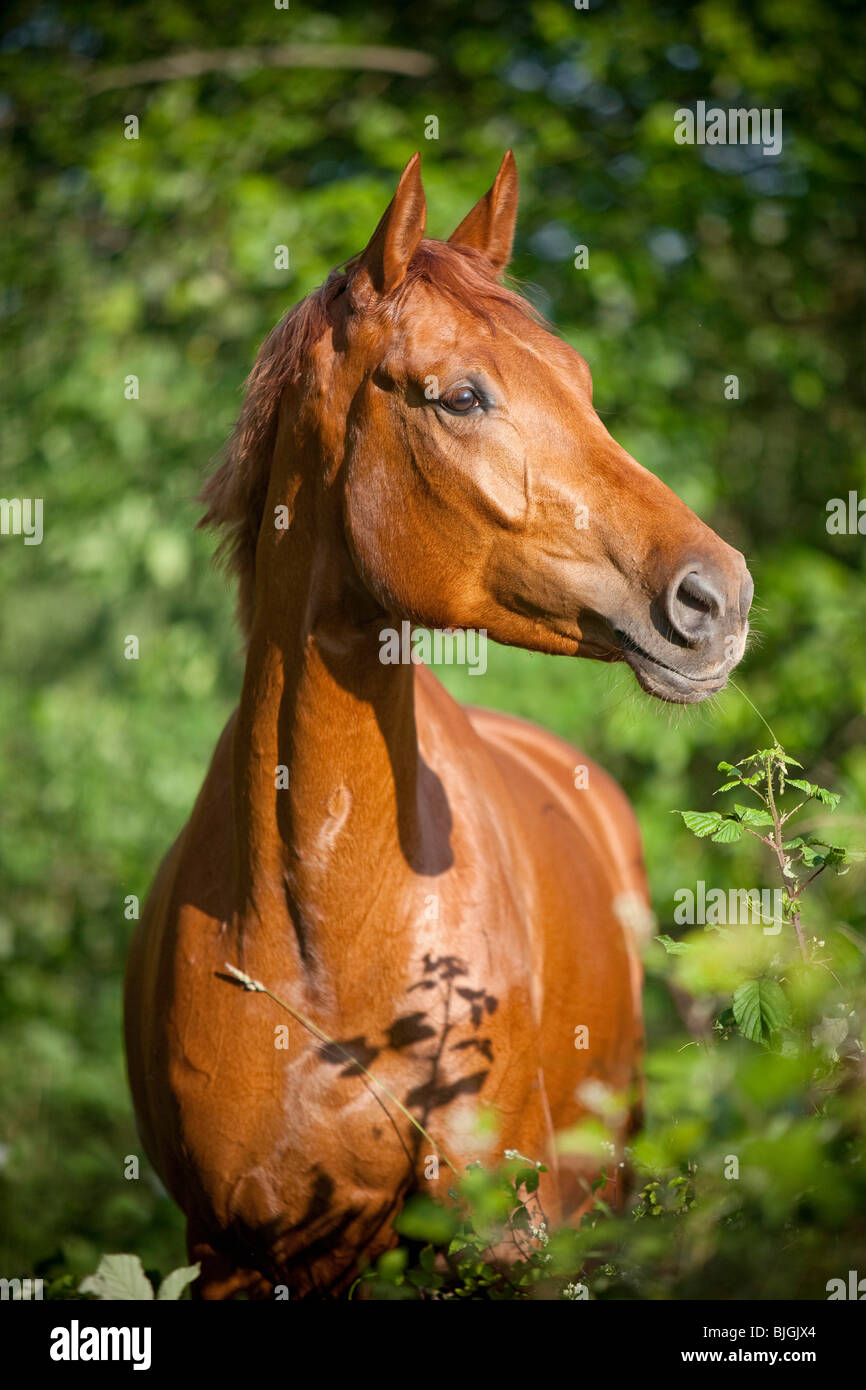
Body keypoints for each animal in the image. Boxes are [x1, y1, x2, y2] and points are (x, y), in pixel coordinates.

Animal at [124, 151, 753, 1298]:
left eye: (581, 383)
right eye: (461, 395)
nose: (716, 597)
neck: (321, 933)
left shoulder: (503, 1239)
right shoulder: (233, 1256)